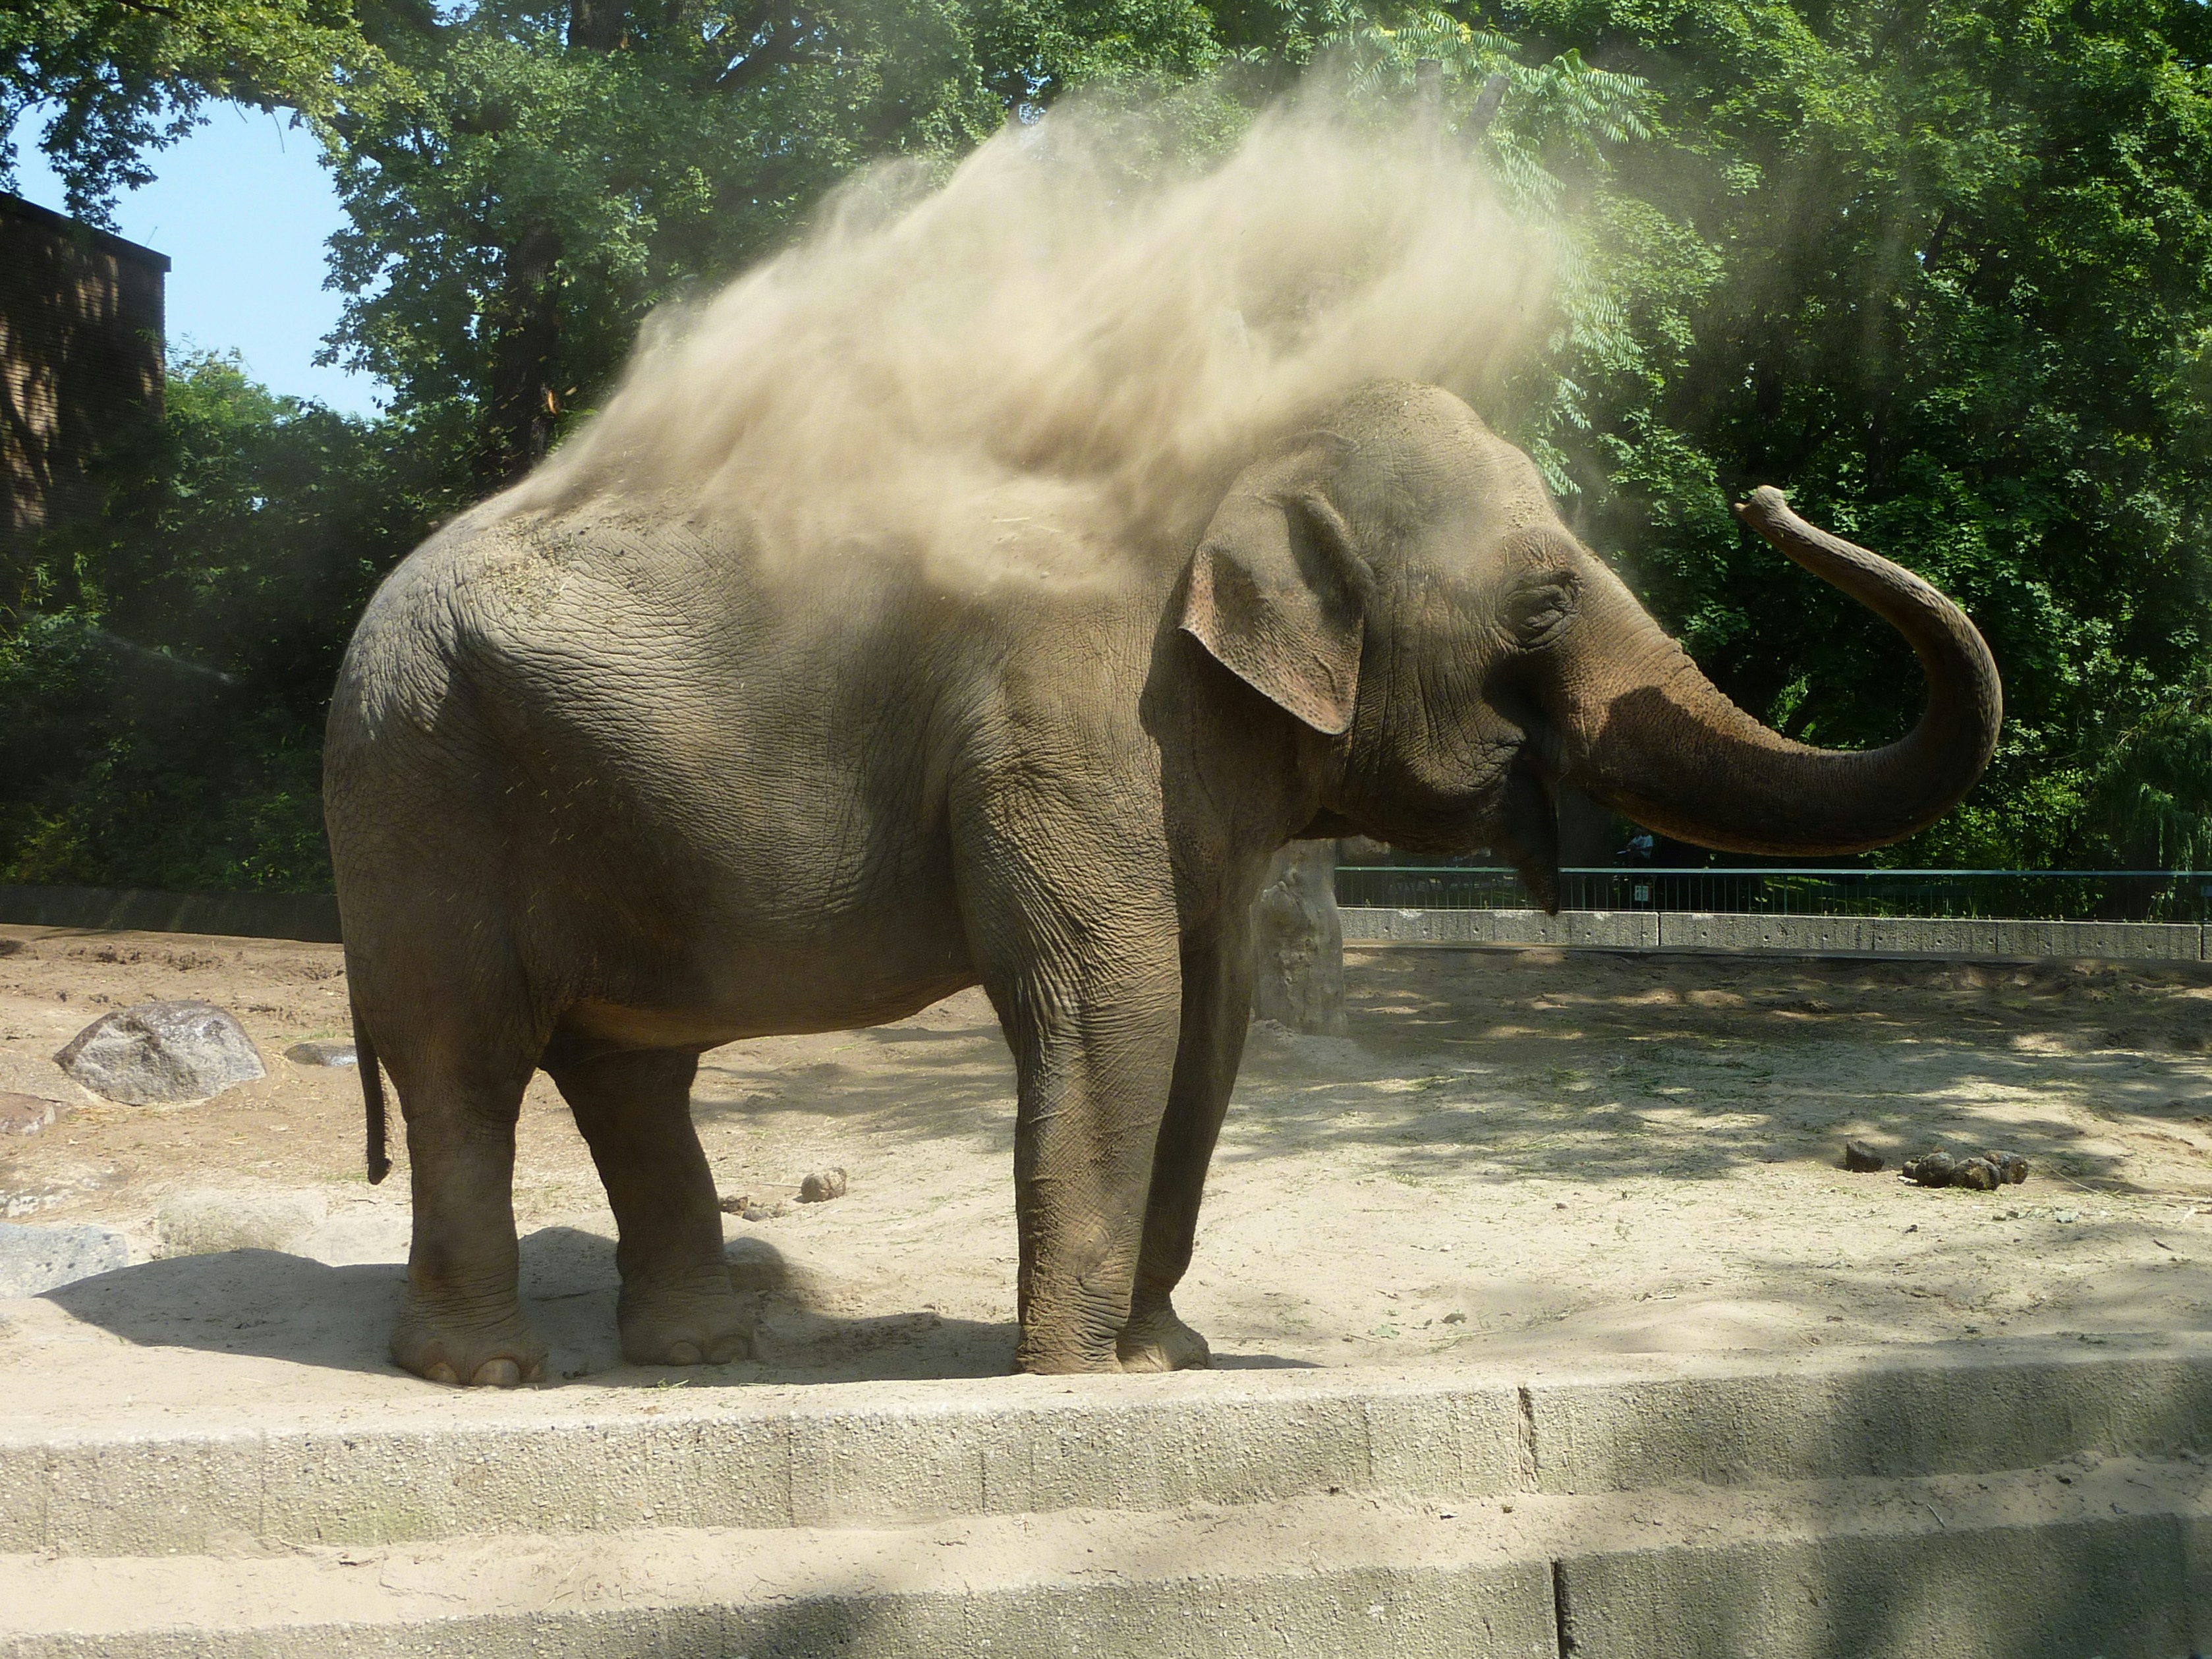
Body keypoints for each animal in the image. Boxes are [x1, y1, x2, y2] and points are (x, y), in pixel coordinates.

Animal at [325, 378, 2000, 1386]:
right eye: (1541, 600)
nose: (1764, 495)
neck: (1234, 448)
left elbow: (1214, 1018)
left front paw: (1165, 1359)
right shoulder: (1063, 716)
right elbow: (1110, 1000)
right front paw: (1073, 1380)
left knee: (628, 1070)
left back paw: (699, 1352)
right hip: (419, 782)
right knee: (468, 1060)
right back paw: (487, 1373)